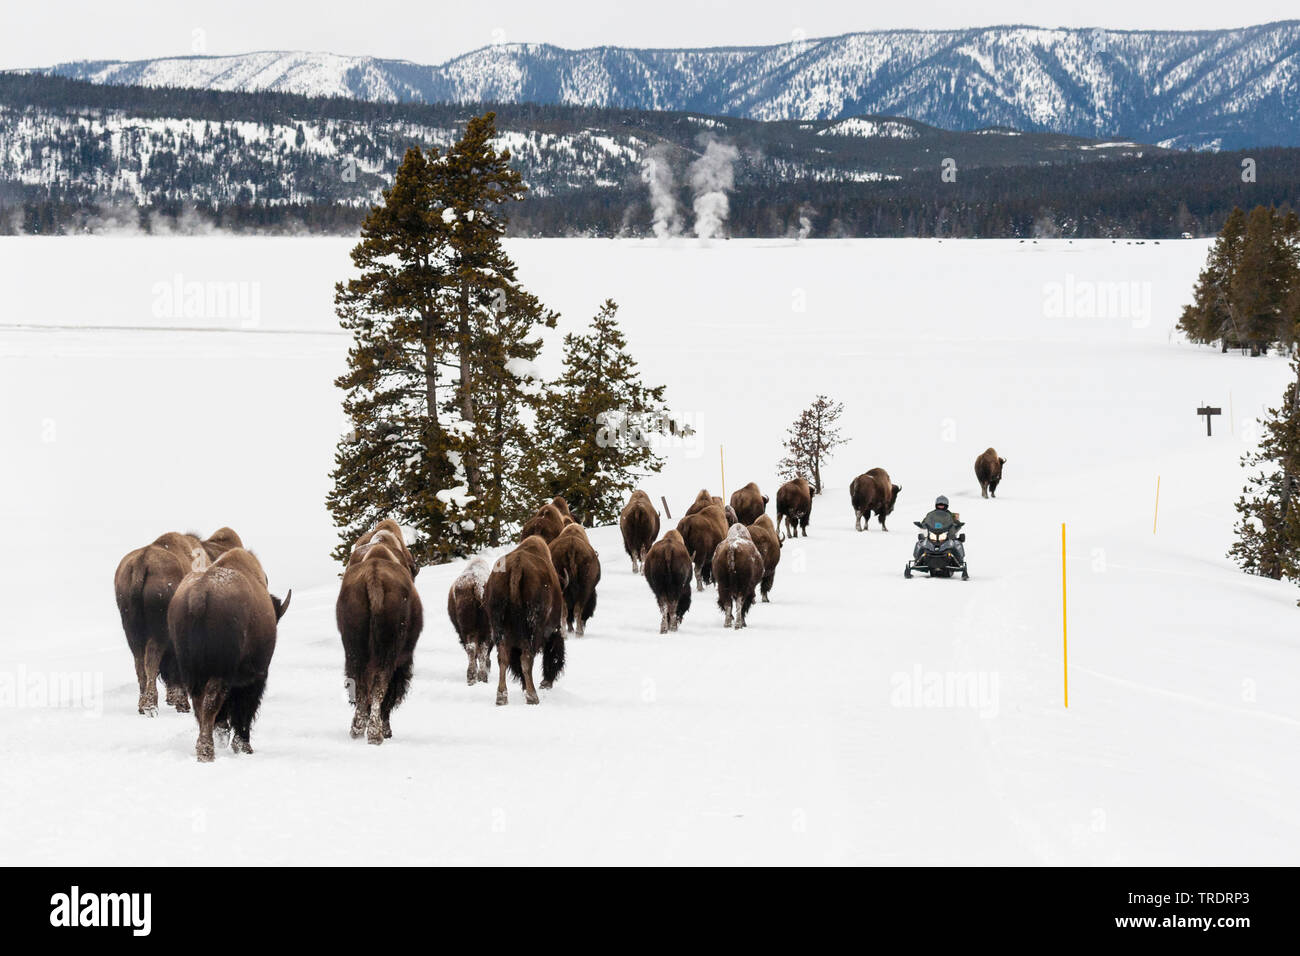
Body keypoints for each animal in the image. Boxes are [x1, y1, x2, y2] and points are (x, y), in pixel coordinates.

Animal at [168, 548, 291, 761]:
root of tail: (200, 594)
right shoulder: (255, 678)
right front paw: (243, 747)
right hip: (223, 672)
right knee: (213, 701)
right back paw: (208, 751)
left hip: (192, 672)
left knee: (200, 703)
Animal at [484, 536, 565, 705]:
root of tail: (517, 567)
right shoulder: (554, 629)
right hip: (533, 630)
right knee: (526, 659)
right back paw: (533, 696)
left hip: (499, 628)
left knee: (503, 659)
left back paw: (501, 697)